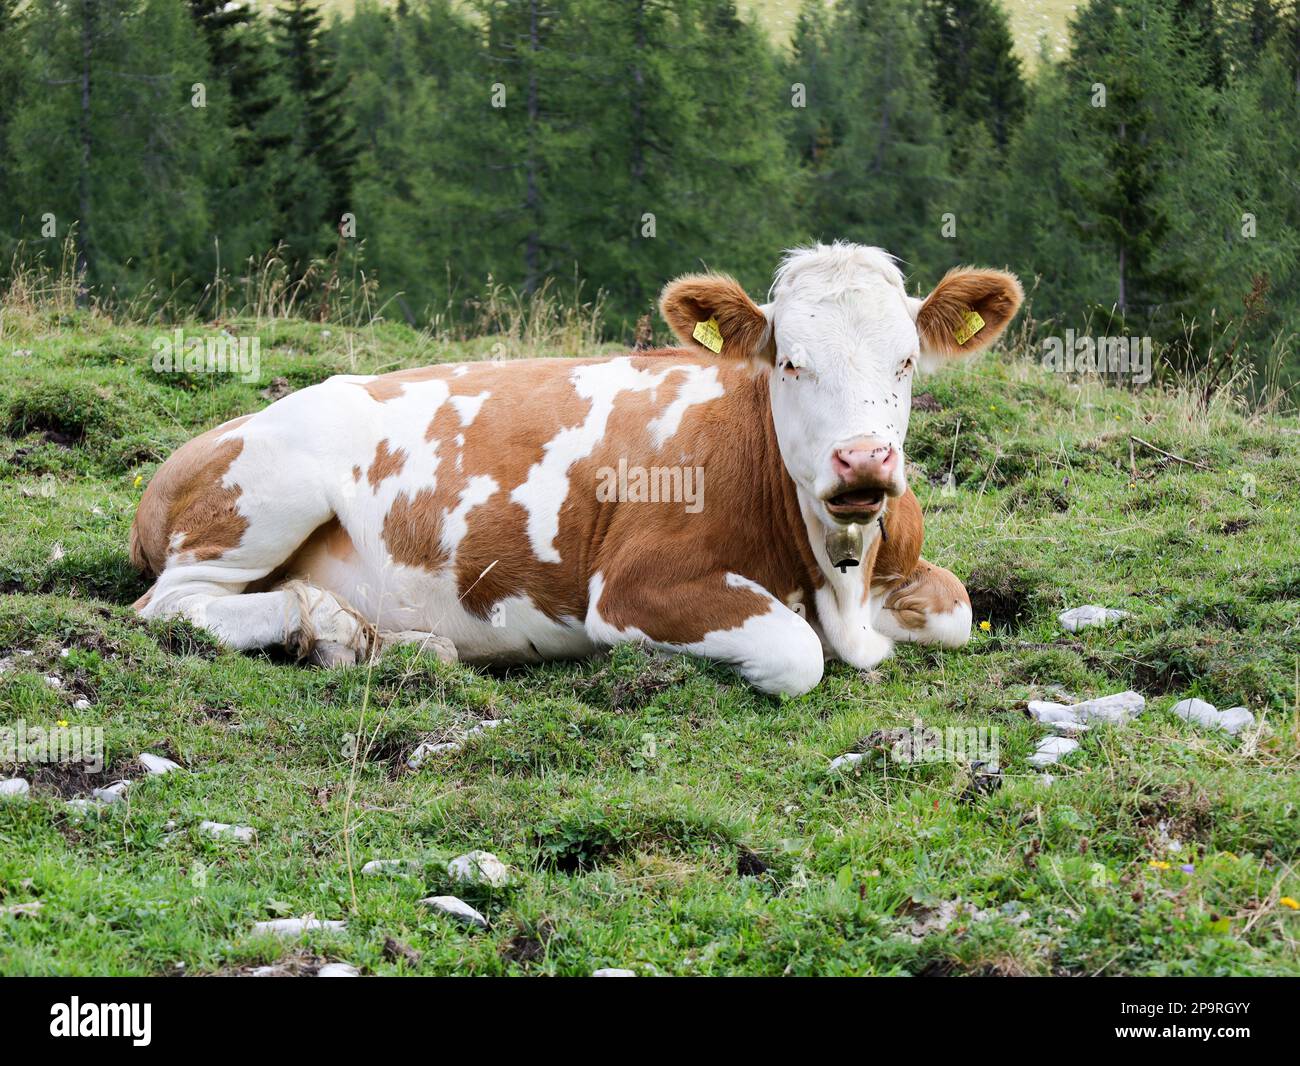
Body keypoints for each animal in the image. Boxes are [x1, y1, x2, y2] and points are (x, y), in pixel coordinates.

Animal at [129, 243, 1022, 696]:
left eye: (906, 360)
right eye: (791, 362)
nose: (864, 459)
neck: (837, 575)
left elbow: (956, 610)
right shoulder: (634, 588)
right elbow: (796, 654)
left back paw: (395, 642)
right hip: (268, 493)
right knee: (171, 605)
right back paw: (328, 627)